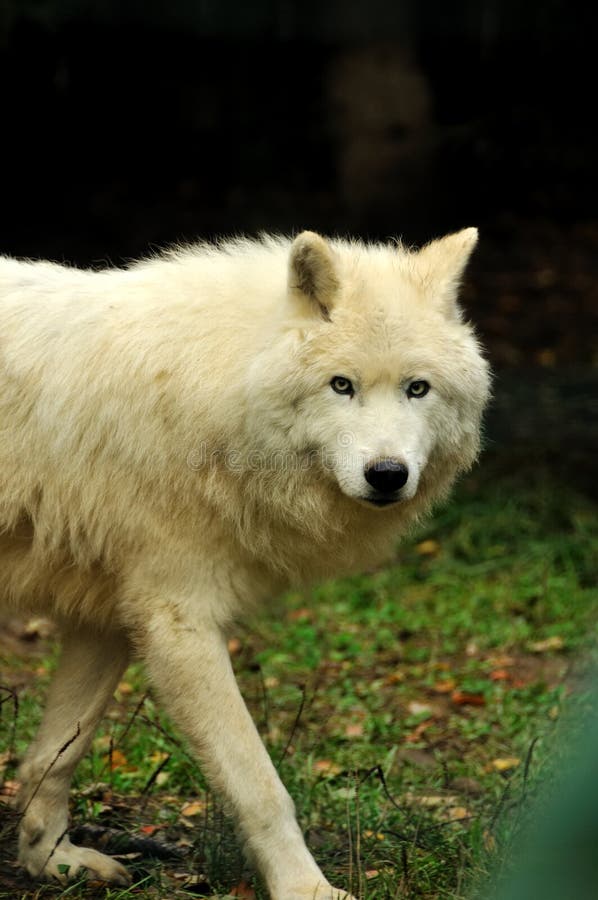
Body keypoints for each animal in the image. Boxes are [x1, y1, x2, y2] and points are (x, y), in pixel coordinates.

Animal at [0, 228, 489, 899]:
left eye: (418, 388)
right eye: (341, 385)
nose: (388, 475)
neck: (222, 394)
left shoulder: (109, 617)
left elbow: (56, 754)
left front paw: (50, 860)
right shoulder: (178, 621)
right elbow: (259, 785)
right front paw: (306, 888)